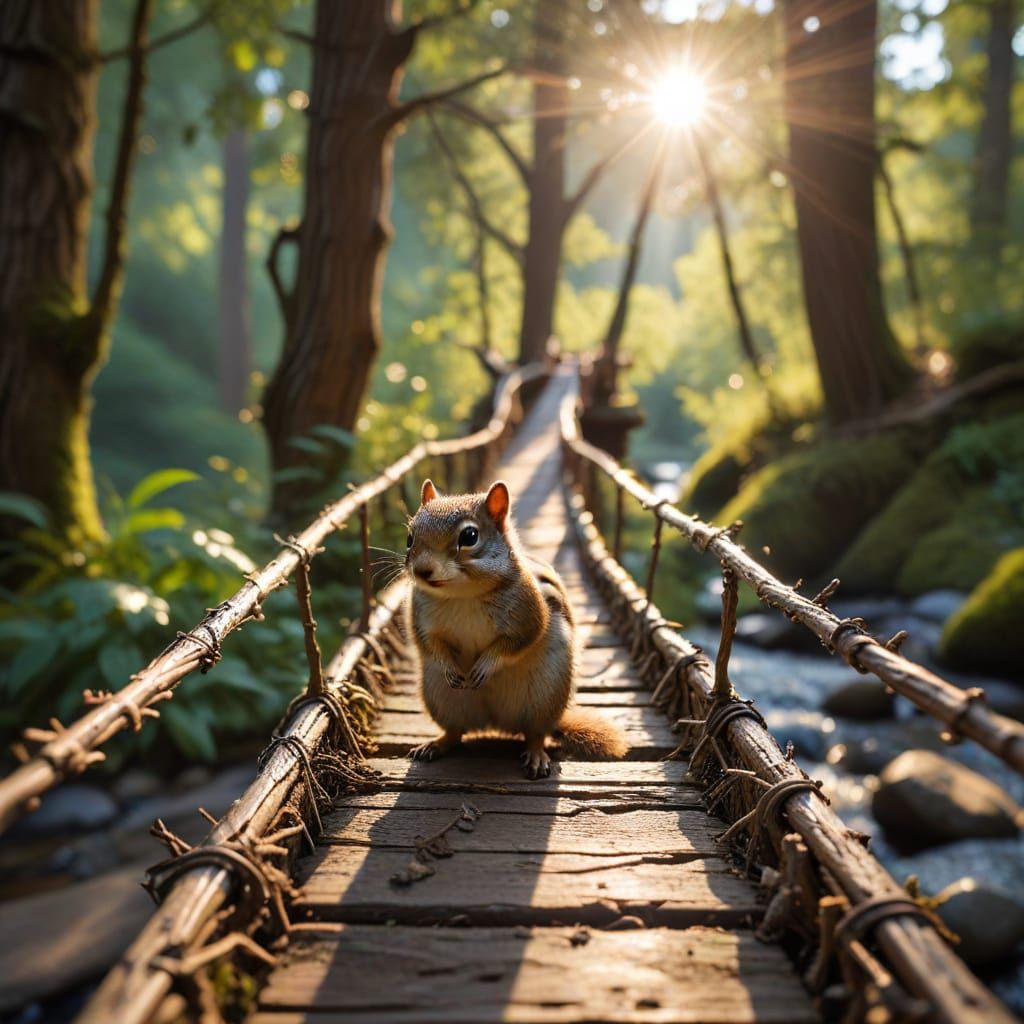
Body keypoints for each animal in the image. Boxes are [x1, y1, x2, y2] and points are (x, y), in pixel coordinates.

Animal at [405, 478, 627, 778]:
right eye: (410, 538)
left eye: (469, 536)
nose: (422, 570)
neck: (463, 595)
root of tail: (498, 722)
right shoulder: (421, 618)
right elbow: (429, 644)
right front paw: (449, 666)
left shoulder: (528, 613)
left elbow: (520, 640)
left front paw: (486, 665)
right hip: (440, 697)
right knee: (455, 732)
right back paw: (436, 745)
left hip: (544, 698)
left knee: (535, 734)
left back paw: (536, 755)